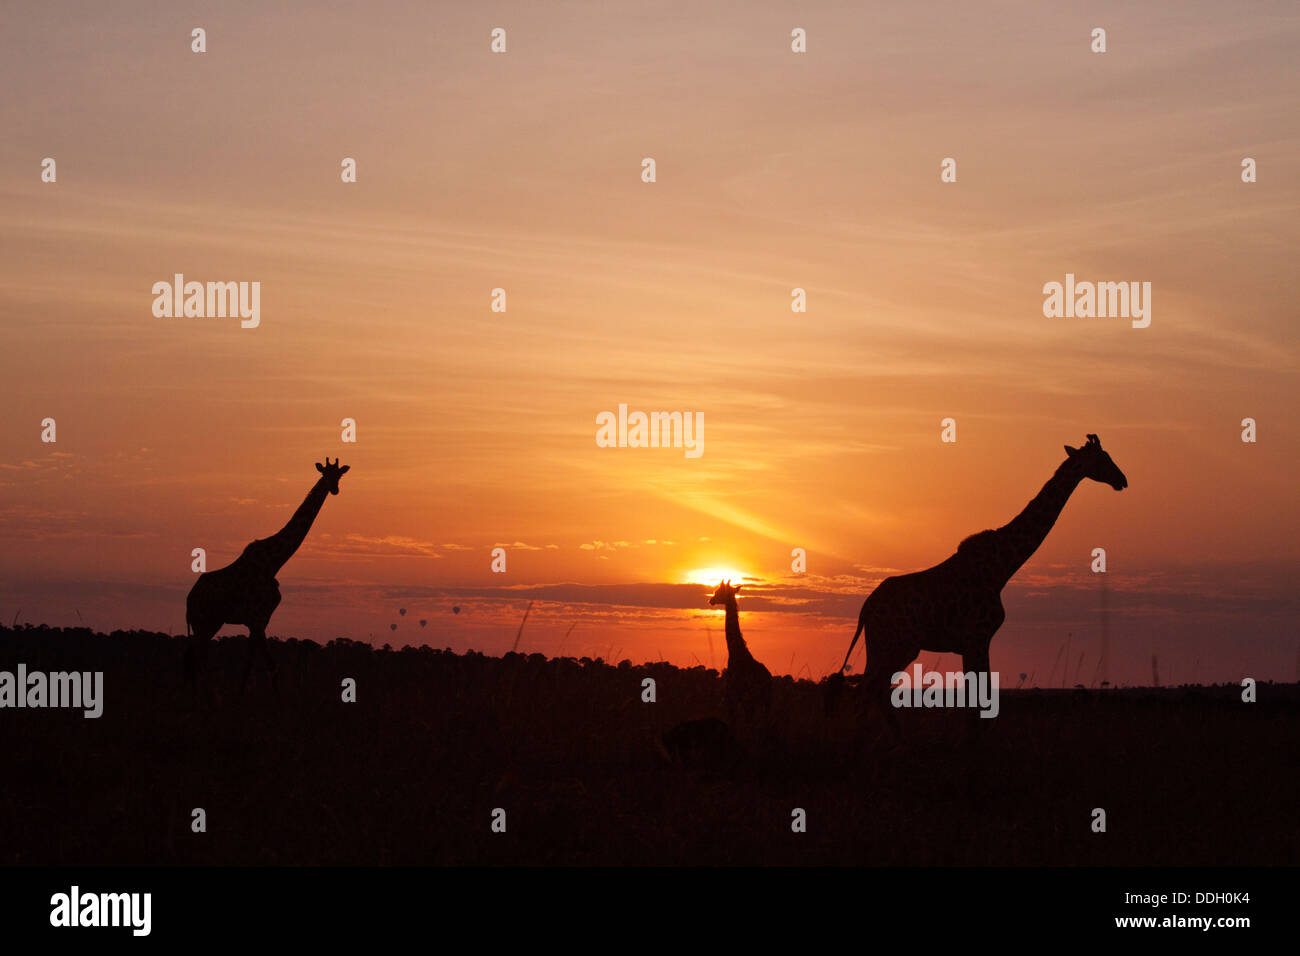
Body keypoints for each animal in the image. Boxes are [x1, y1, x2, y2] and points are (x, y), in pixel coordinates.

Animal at [185, 458, 350, 696]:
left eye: (339, 475)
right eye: (325, 473)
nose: (334, 489)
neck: (274, 563)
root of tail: (188, 599)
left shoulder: (260, 621)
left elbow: (263, 663)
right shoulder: (257, 618)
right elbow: (258, 663)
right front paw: (246, 696)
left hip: (210, 623)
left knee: (194, 658)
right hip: (203, 620)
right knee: (197, 658)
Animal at [709, 580, 773, 731]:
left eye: (718, 591)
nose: (711, 600)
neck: (735, 653)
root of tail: (769, 679)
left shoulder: (734, 696)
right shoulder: (735, 698)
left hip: (758, 700)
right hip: (763, 701)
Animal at [839, 434, 1126, 737]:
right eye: (1103, 458)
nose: (1122, 480)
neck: (1001, 568)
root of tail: (866, 609)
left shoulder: (974, 642)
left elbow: (979, 700)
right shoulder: (977, 637)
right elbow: (980, 702)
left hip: (886, 645)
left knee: (873, 688)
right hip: (897, 644)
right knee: (868, 689)